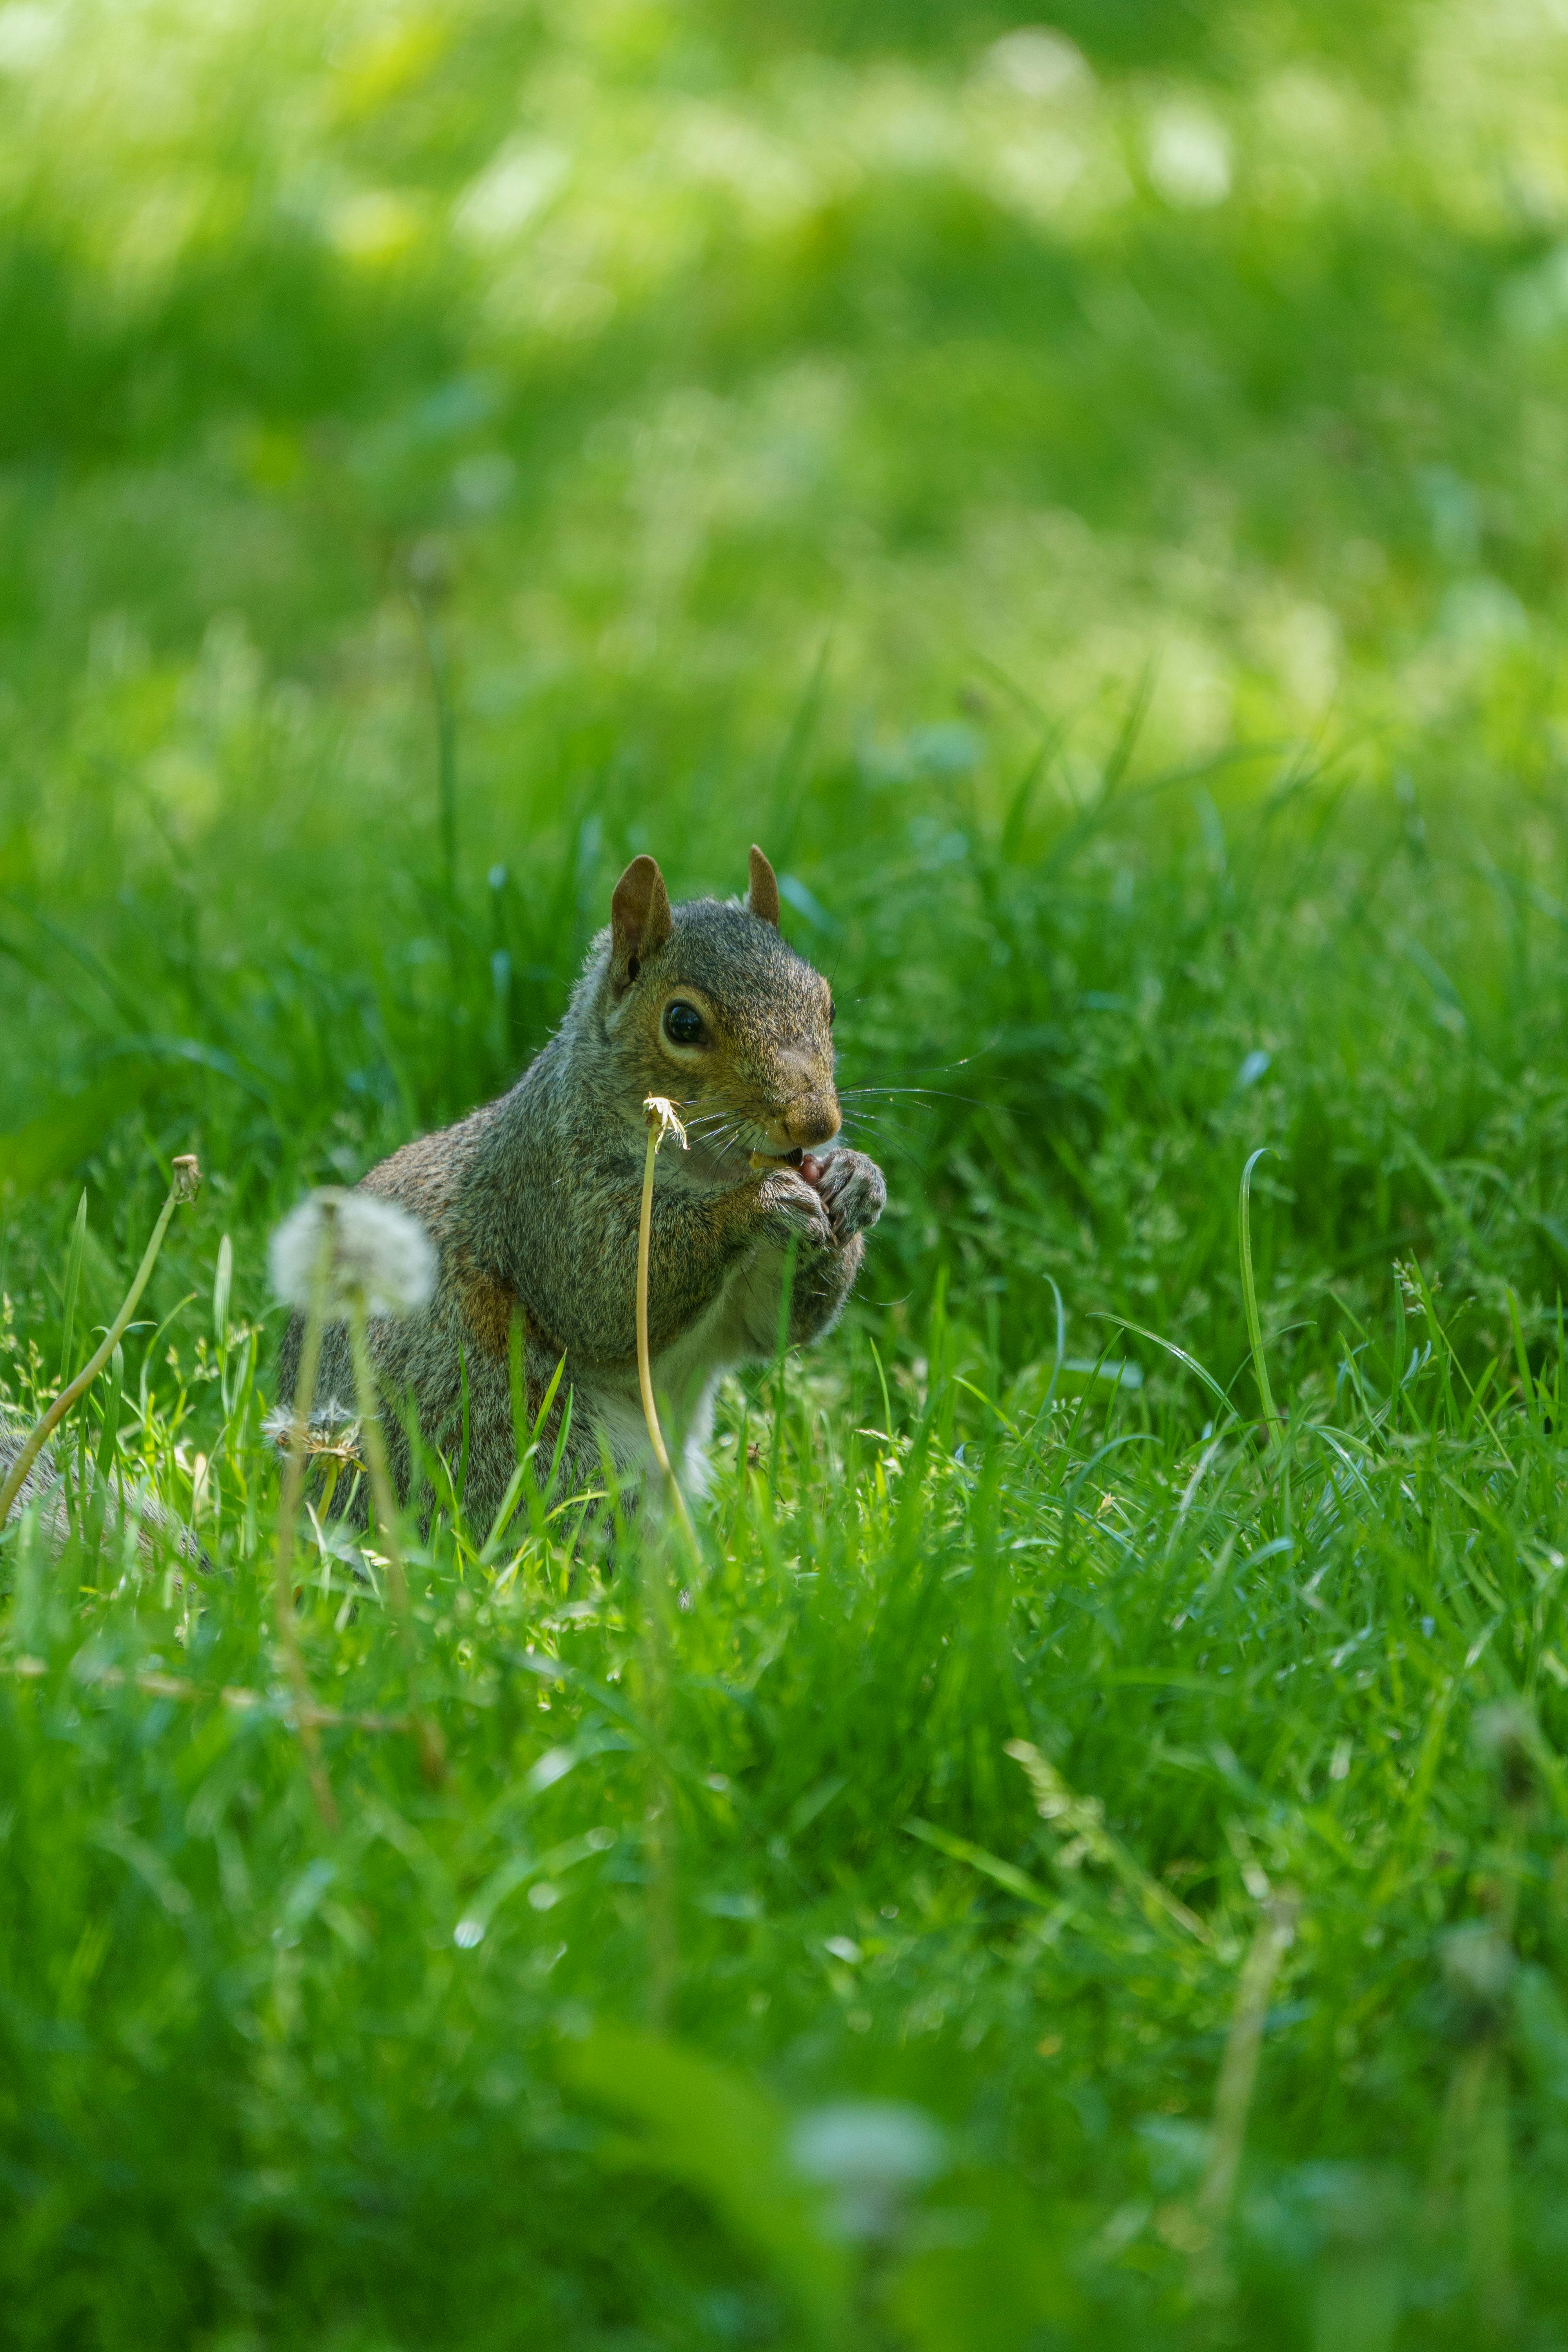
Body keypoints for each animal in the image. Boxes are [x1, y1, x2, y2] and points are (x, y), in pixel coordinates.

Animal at [280, 847, 886, 1531]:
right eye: (682, 1023)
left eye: (827, 1005)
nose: (816, 1124)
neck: (706, 1171)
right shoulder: (547, 1190)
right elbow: (605, 1293)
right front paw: (759, 1205)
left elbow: (777, 1327)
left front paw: (856, 1180)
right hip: (528, 1445)